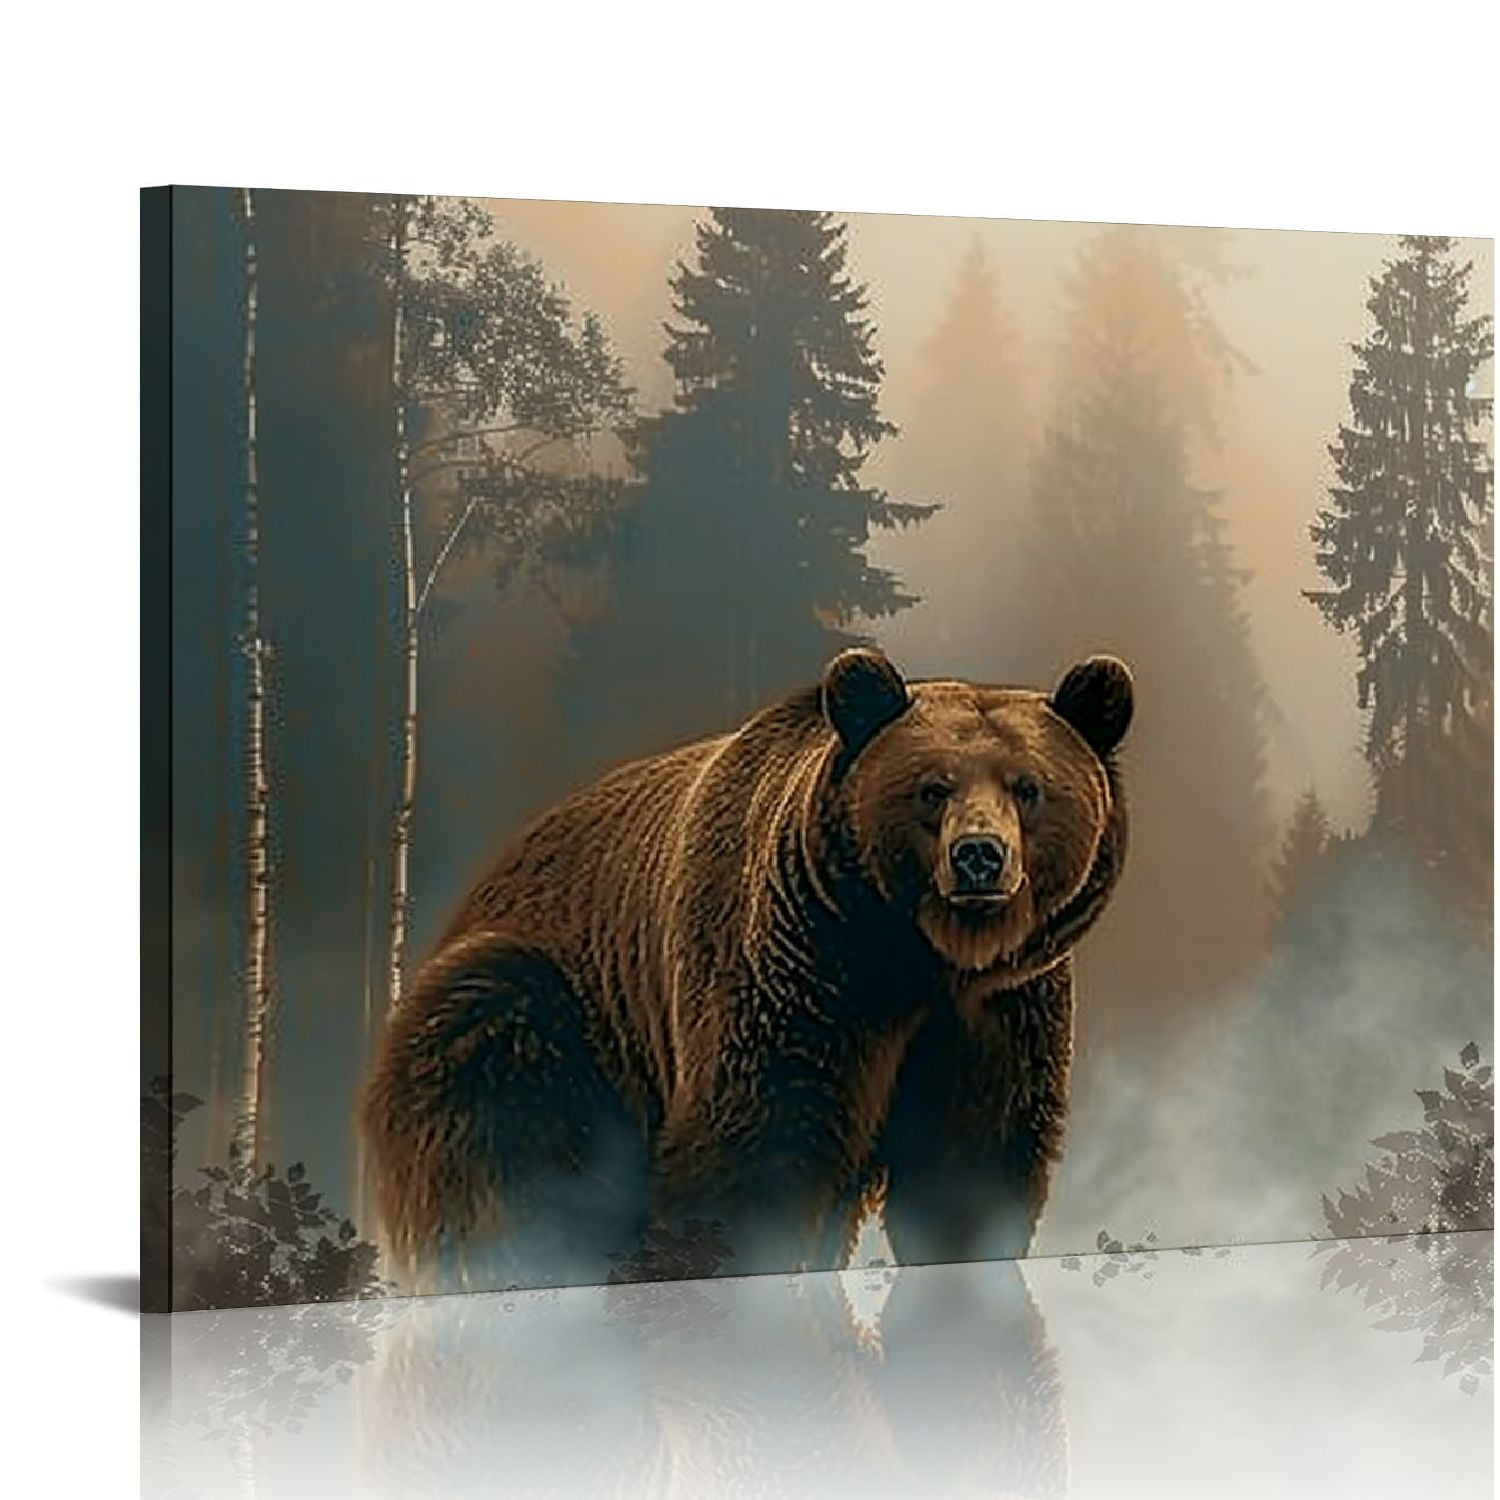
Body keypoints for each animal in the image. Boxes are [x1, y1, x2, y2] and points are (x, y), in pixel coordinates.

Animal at [361, 648, 1132, 1287]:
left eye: (1027, 788)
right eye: (931, 788)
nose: (978, 856)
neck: (918, 956)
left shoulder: (1001, 1005)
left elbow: (973, 1153)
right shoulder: (797, 970)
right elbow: (756, 1142)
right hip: (544, 1006)